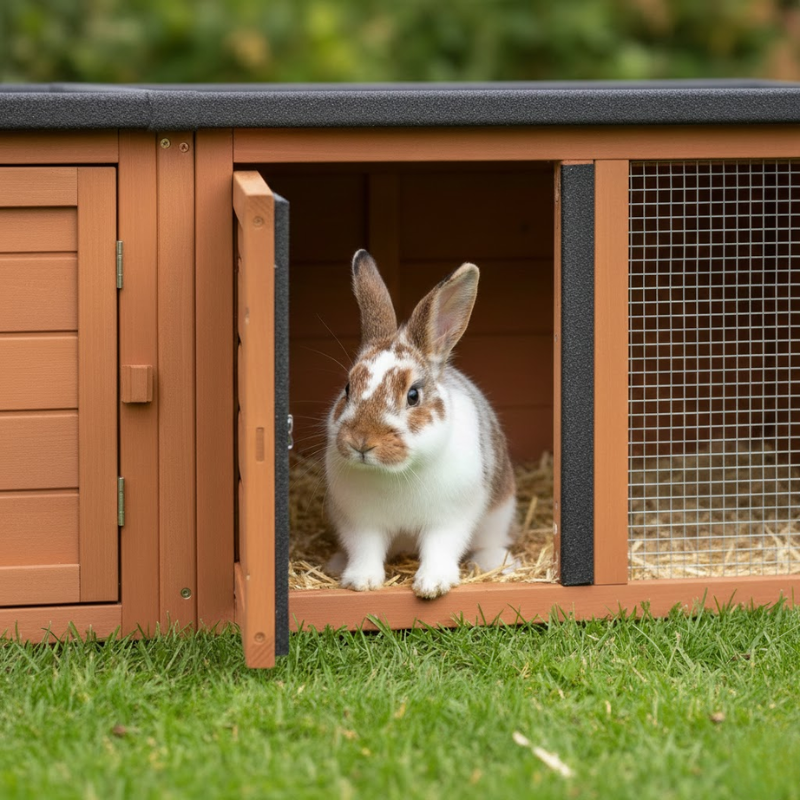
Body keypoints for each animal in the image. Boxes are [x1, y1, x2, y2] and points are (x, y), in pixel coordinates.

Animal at [325, 249, 517, 599]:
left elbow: (440, 549)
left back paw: (494, 562)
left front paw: (433, 585)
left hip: (500, 513)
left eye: (413, 395)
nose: (361, 441)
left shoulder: (449, 519)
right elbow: (366, 550)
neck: (396, 474)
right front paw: (361, 581)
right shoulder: (360, 522)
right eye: (347, 388)